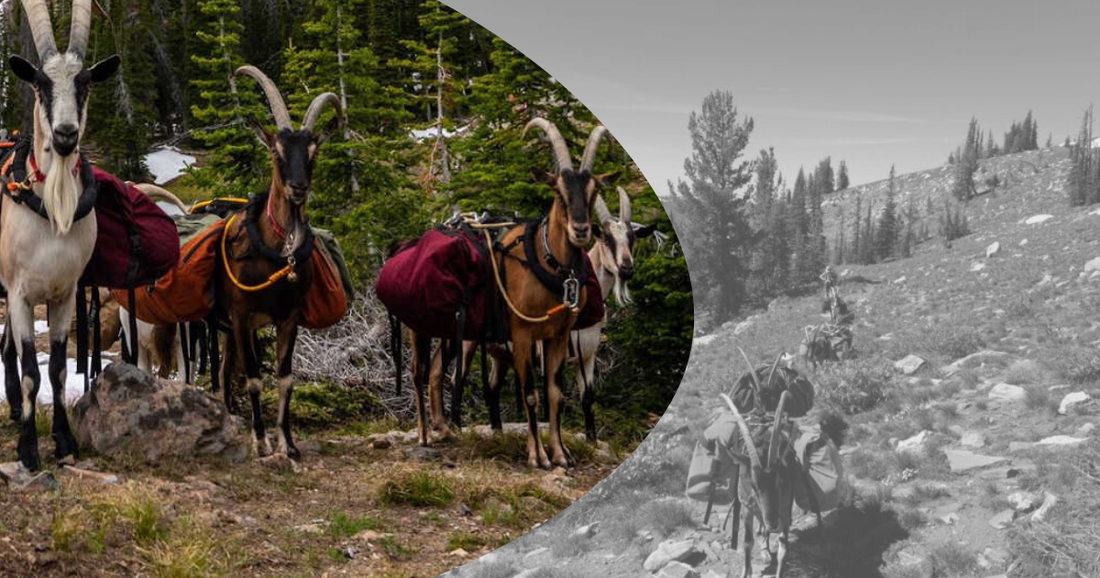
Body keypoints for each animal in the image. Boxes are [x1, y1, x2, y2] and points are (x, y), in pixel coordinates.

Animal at [0, 0, 119, 469]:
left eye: (84, 83)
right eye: (40, 83)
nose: (66, 135)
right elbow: (33, 371)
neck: (52, 215)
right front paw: (30, 449)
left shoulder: (64, 293)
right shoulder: (19, 295)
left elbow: (57, 368)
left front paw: (65, 441)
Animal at [214, 65, 341, 459]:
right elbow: (255, 379)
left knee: (224, 371)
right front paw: (260, 441)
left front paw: (288, 442)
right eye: (276, 151)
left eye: (313, 151)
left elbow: (285, 379)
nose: (298, 187)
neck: (275, 254)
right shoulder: (242, 316)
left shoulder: (289, 318)